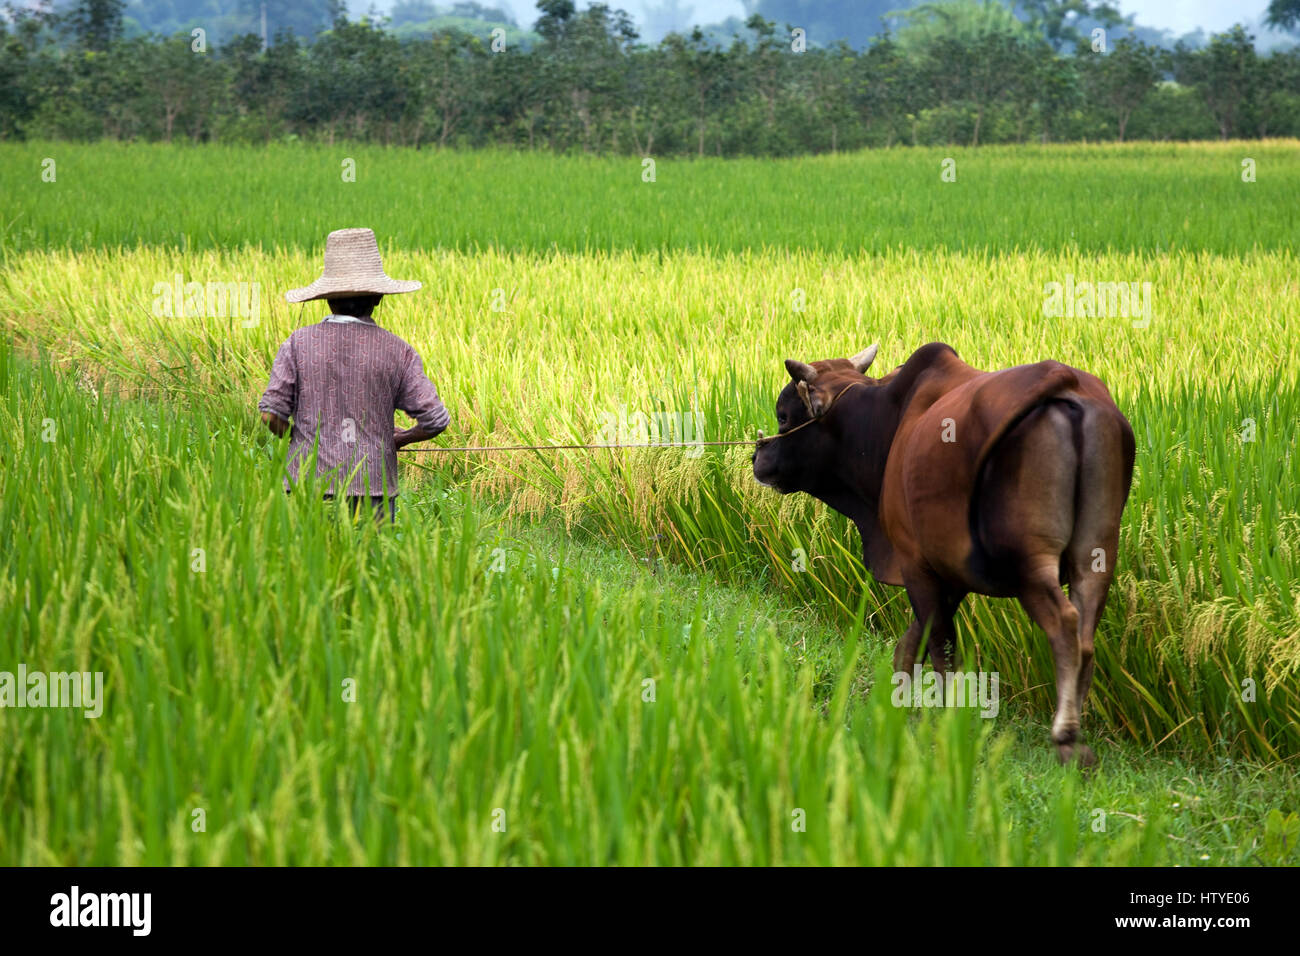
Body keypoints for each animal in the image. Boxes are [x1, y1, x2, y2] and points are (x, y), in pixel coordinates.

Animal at [751, 342, 1135, 765]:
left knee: (1065, 623)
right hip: (1096, 554)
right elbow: (911, 644)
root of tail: (1067, 383)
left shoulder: (915, 563)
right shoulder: (949, 573)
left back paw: (1065, 734)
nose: (758, 456)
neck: (884, 420)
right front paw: (900, 705)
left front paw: (947, 718)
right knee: (1086, 635)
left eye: (784, 416)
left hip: (1028, 562)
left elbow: (939, 647)